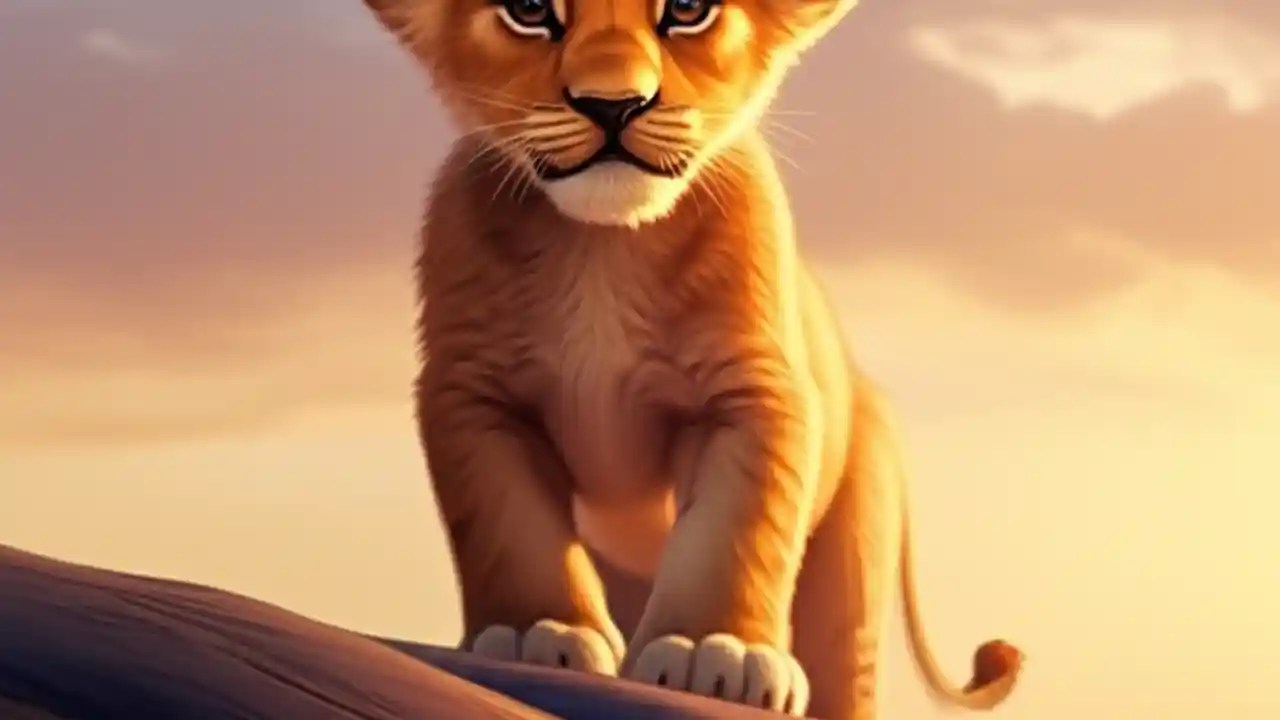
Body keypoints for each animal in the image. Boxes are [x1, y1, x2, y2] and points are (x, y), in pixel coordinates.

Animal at [360, 1, 1022, 718]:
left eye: (687, 11)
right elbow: (509, 524)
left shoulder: (751, 393)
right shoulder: (474, 394)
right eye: (530, 11)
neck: (602, 250)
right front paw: (535, 632)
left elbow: (732, 530)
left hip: (852, 554)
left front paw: (715, 651)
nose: (614, 105)